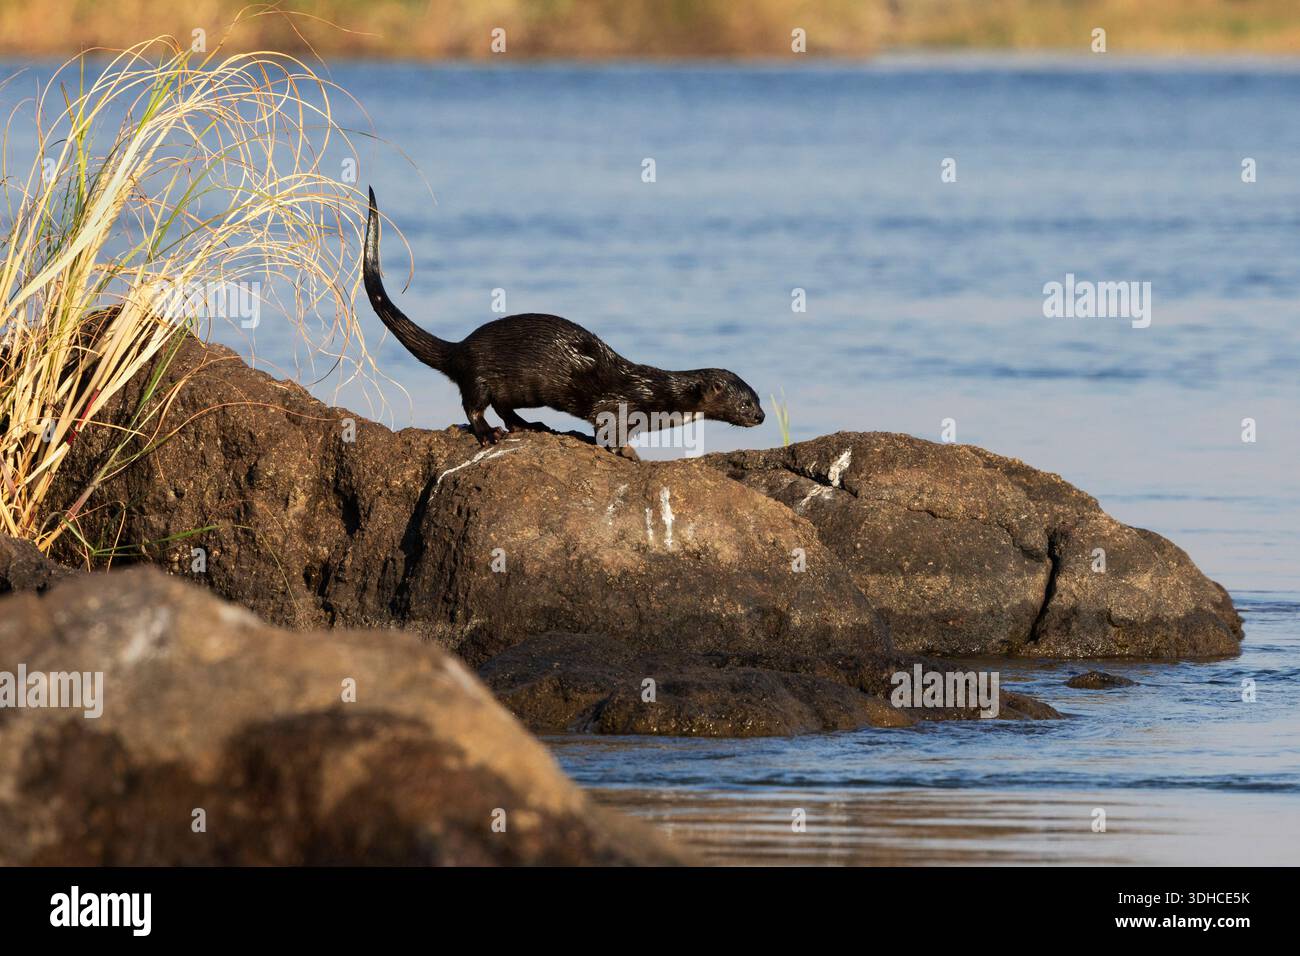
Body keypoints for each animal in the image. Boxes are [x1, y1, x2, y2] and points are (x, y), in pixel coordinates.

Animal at [363, 188, 764, 457]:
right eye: (746, 404)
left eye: (758, 399)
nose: (761, 417)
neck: (657, 392)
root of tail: (460, 348)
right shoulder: (618, 405)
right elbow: (608, 431)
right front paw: (627, 454)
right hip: (480, 373)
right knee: (474, 405)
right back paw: (491, 434)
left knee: (503, 407)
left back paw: (530, 425)